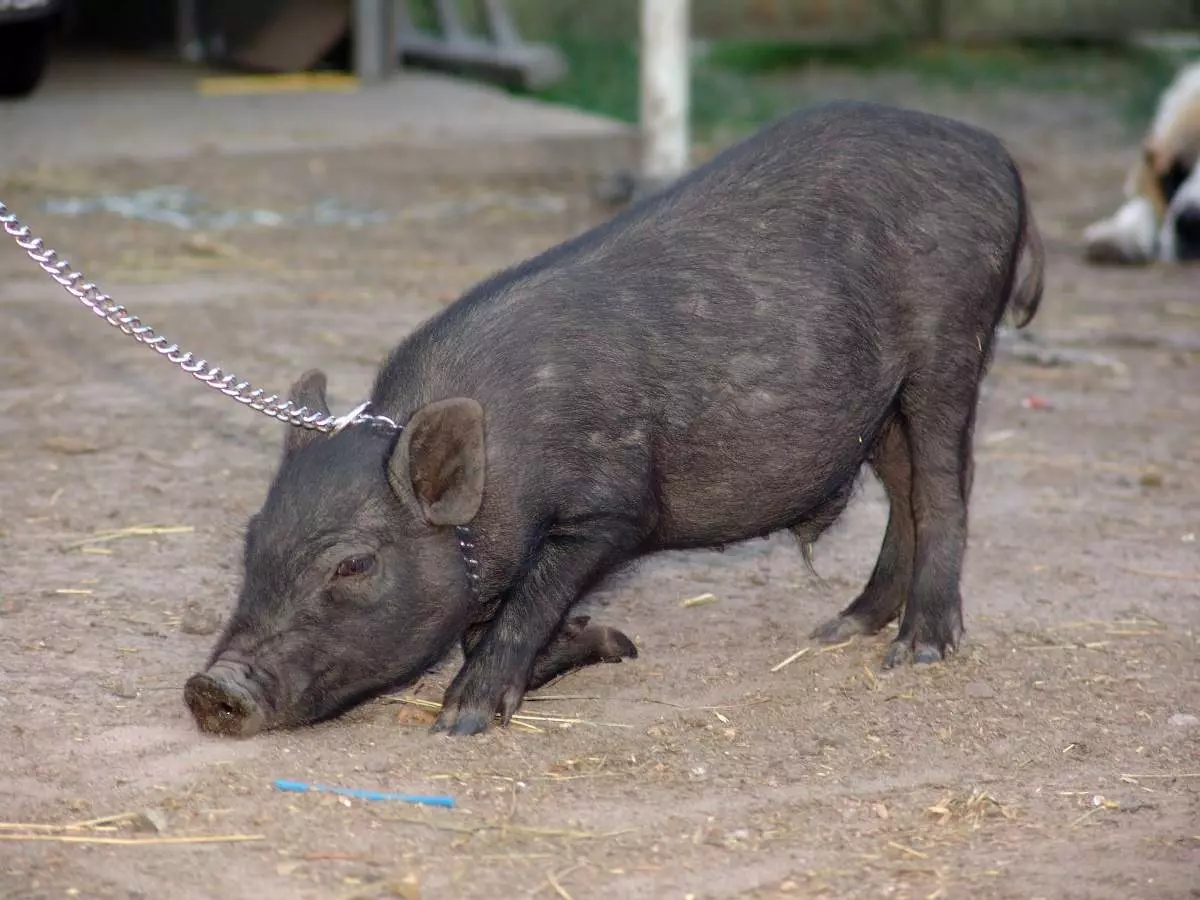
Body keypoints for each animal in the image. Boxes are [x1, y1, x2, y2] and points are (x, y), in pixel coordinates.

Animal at [184, 98, 1041, 734]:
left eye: (352, 566)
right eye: (251, 540)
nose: (210, 688)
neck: (507, 462)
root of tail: (994, 150)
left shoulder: (611, 508)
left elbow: (528, 604)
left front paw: (465, 718)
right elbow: (496, 618)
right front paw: (610, 642)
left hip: (952, 339)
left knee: (946, 484)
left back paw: (918, 650)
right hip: (880, 402)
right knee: (904, 490)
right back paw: (839, 628)